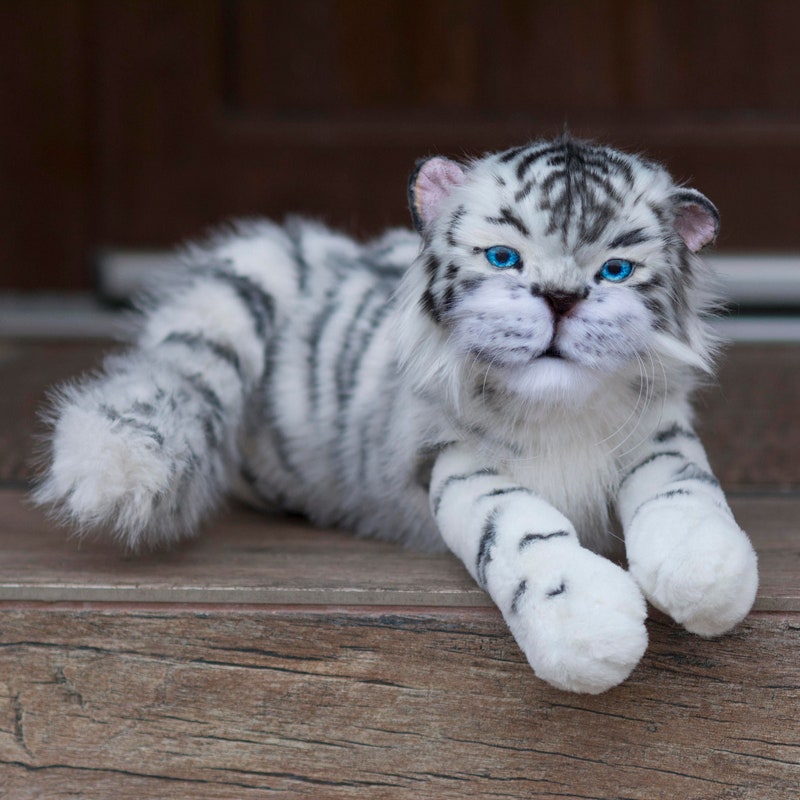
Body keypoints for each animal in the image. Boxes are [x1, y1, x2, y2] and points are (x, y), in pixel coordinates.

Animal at [34, 136, 759, 694]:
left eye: (615, 270)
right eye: (504, 258)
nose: (559, 297)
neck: (559, 411)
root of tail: (325, 256)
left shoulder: (658, 431)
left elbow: (684, 491)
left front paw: (708, 576)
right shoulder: (459, 464)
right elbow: (521, 529)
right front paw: (589, 629)